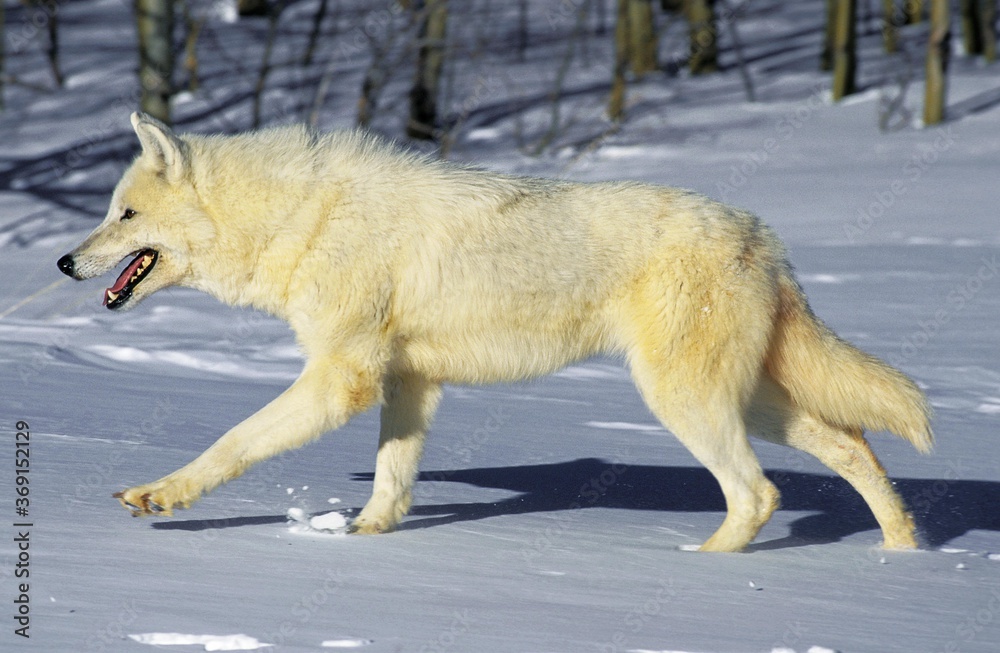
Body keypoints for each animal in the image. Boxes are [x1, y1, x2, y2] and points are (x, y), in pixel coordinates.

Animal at [56, 113, 933, 552]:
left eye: (123, 214)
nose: (64, 260)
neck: (301, 218)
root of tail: (762, 235)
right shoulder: (407, 384)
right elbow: (393, 477)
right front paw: (365, 537)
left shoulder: (342, 379)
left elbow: (232, 441)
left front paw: (162, 494)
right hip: (752, 403)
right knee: (854, 448)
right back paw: (901, 554)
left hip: (689, 402)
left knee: (759, 494)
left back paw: (704, 565)